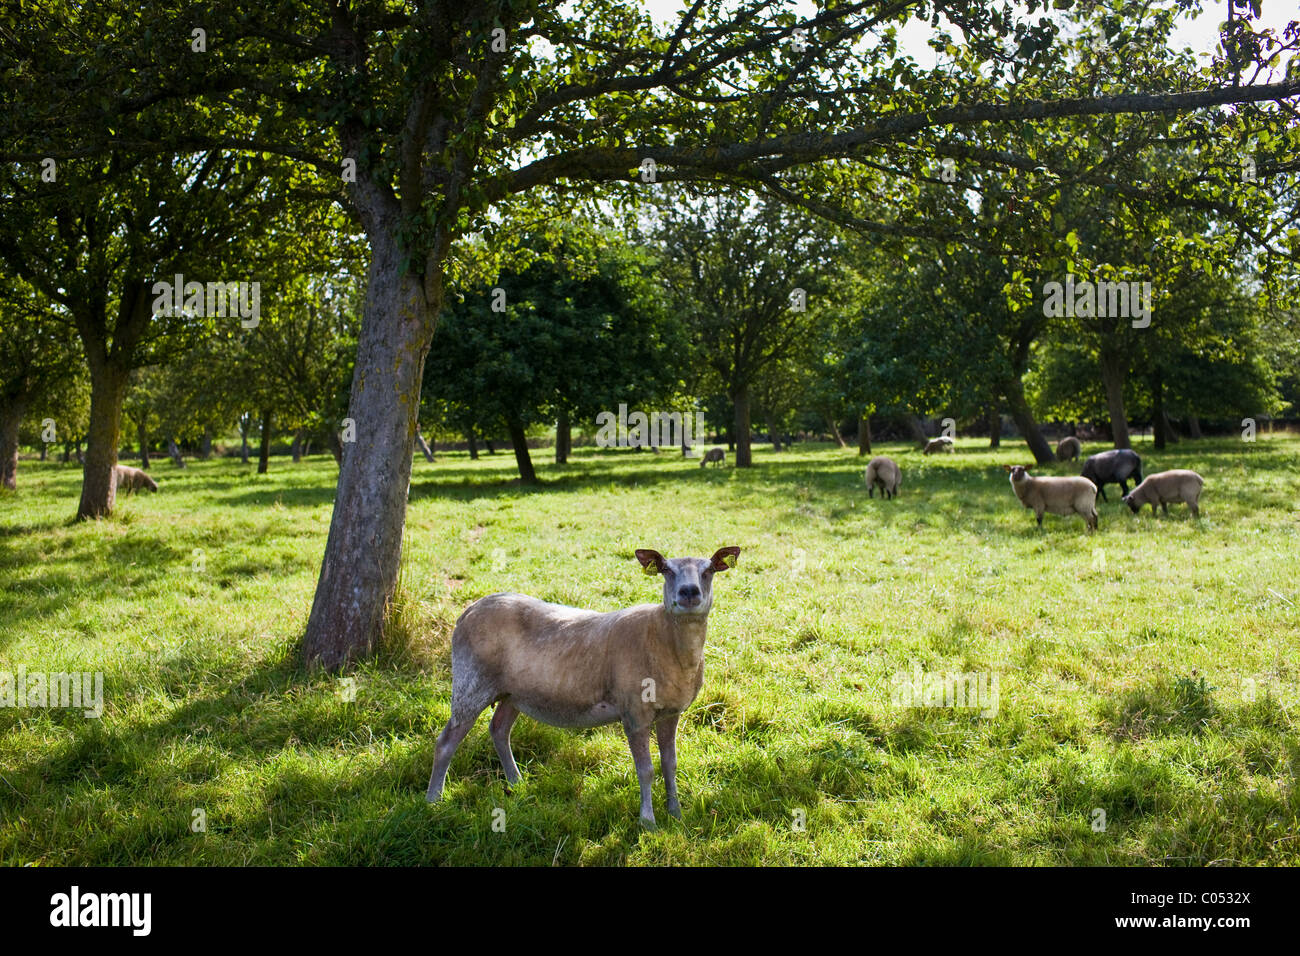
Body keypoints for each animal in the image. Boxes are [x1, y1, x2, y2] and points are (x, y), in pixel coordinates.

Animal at [426, 546, 742, 828]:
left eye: (709, 571)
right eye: (666, 570)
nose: (689, 593)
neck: (664, 638)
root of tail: (468, 610)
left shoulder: (671, 713)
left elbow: (670, 764)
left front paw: (675, 813)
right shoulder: (634, 713)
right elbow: (646, 770)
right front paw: (648, 822)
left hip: (513, 693)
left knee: (499, 729)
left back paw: (516, 783)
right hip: (471, 684)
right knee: (446, 742)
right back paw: (433, 800)